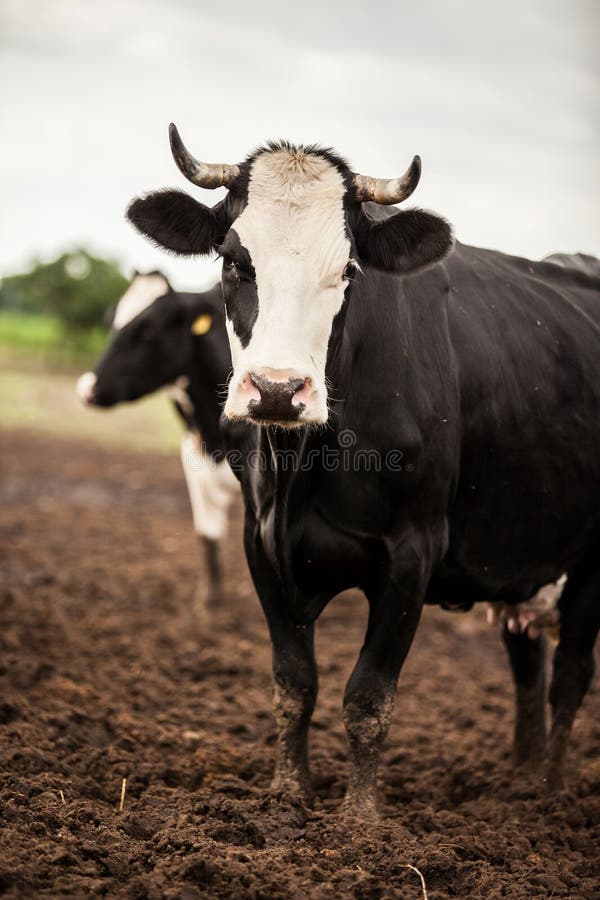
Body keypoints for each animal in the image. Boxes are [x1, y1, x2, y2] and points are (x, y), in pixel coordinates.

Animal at [76, 272, 238, 611]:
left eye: (148, 329)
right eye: (112, 321)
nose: (87, 389)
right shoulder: (193, 456)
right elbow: (208, 536)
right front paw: (209, 603)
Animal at [125, 124, 600, 818]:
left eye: (348, 270)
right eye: (235, 260)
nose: (277, 389)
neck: (302, 468)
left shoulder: (412, 553)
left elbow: (369, 697)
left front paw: (361, 818)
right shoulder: (261, 543)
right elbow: (293, 683)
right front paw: (288, 794)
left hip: (591, 563)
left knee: (570, 676)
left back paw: (551, 795)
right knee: (528, 661)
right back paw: (520, 780)